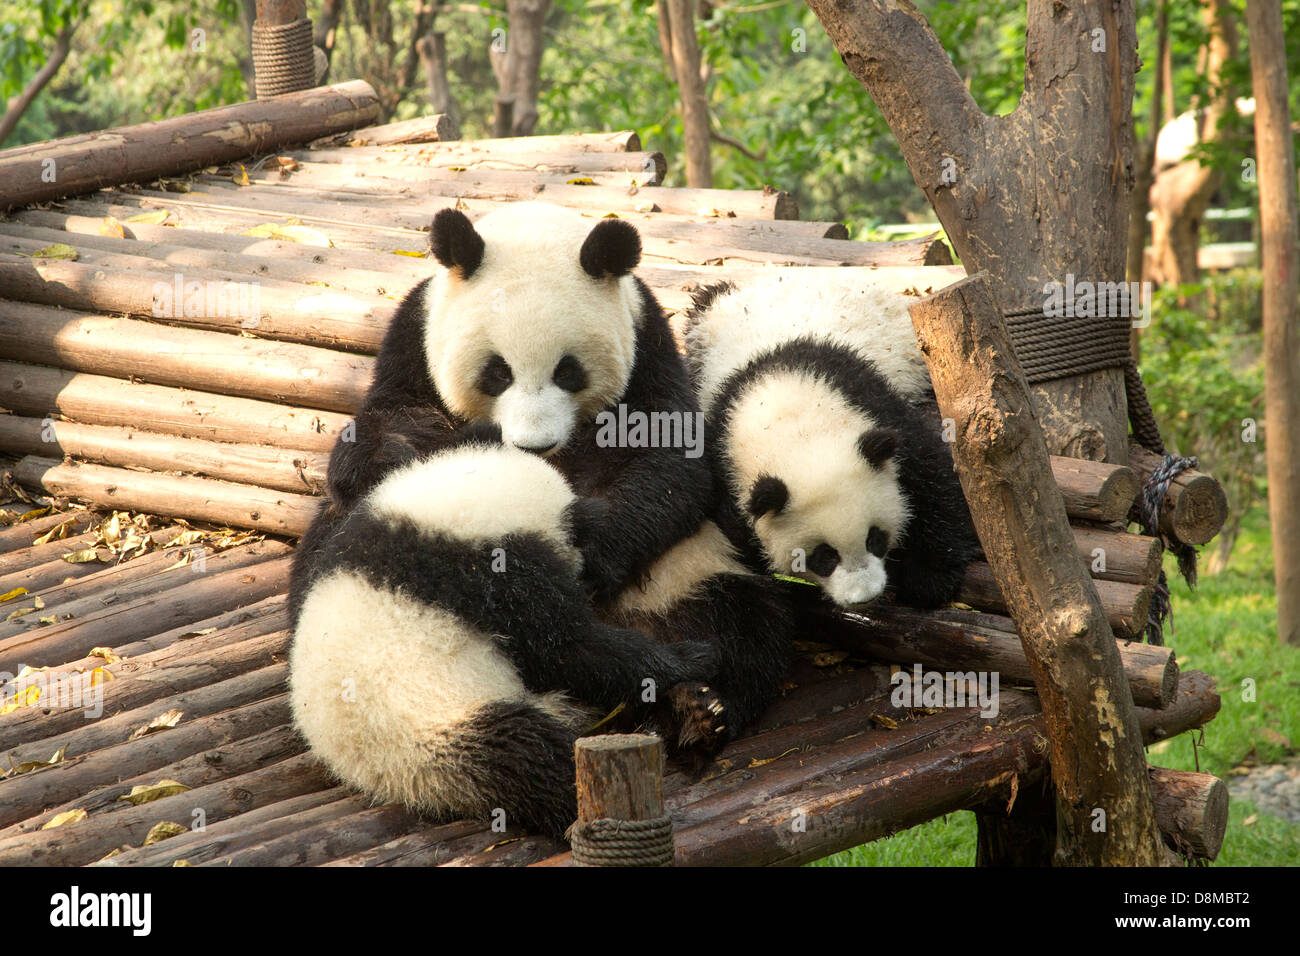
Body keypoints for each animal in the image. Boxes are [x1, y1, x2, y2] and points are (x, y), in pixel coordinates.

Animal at [289, 441, 720, 839]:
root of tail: (371, 775)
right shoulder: (494, 574)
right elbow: (571, 651)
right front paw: (691, 656)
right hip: (435, 729)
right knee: (526, 755)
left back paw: (697, 715)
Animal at [291, 201, 793, 768]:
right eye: (497, 372)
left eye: (568, 371)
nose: (534, 445)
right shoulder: (414, 338)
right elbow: (389, 422)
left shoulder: (648, 345)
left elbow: (669, 462)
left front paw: (589, 549)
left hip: (689, 571)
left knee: (741, 622)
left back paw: (698, 710)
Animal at [683, 271, 981, 610]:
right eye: (824, 556)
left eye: (874, 538)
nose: (866, 596)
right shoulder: (724, 457)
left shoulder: (874, 404)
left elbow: (934, 476)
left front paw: (928, 580)